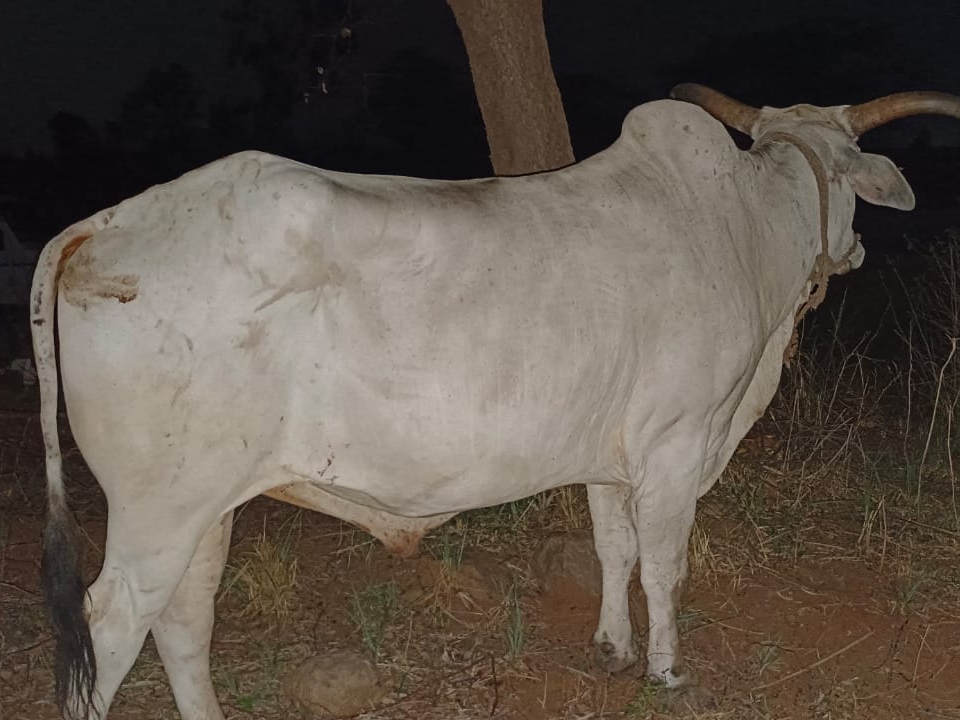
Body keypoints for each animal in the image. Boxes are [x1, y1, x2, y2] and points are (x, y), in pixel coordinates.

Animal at [32, 84, 960, 719]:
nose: (855, 248)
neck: (744, 225)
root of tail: (103, 225)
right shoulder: (675, 444)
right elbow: (664, 566)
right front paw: (665, 668)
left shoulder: (609, 458)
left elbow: (614, 549)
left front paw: (612, 646)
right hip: (158, 511)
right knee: (108, 631)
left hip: (204, 509)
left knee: (183, 623)